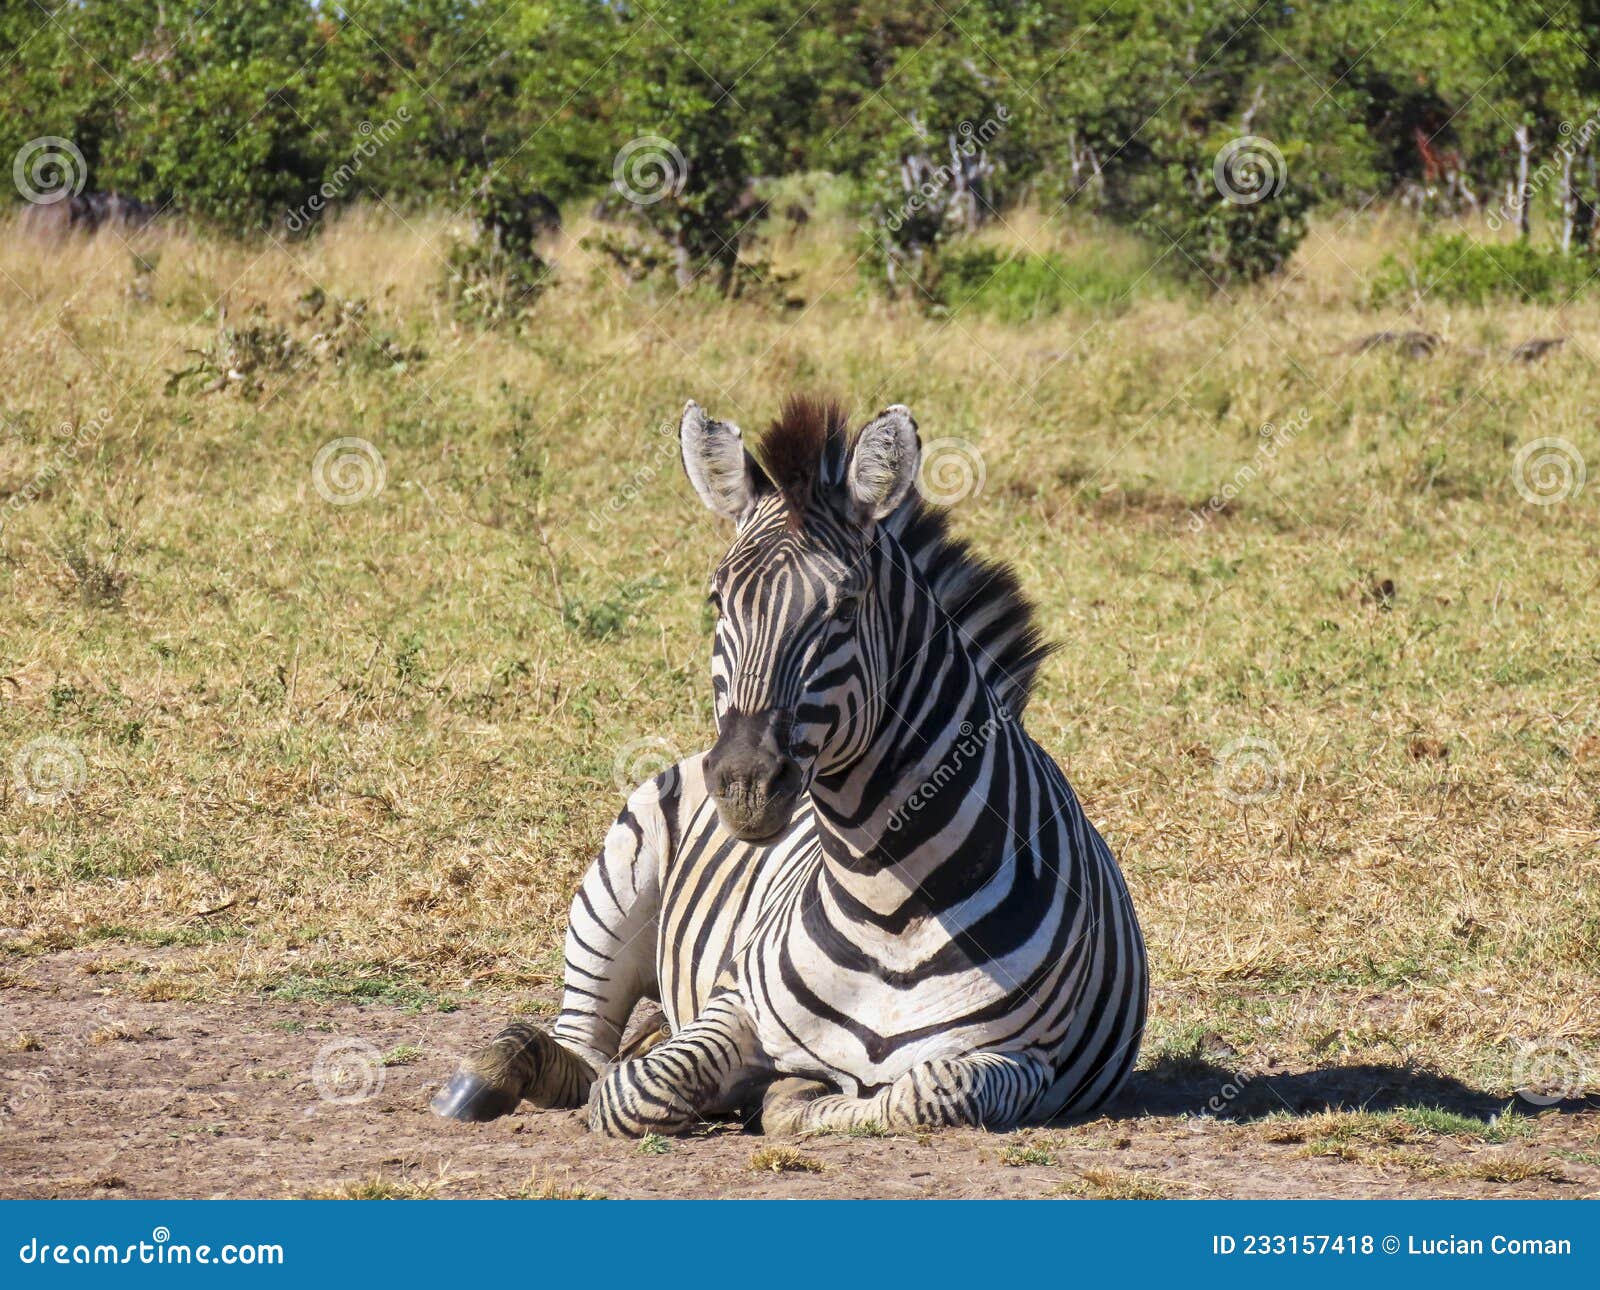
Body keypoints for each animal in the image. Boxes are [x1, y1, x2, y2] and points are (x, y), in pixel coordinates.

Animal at [433, 395, 1147, 1135]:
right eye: (717, 599)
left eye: (847, 605)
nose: (745, 783)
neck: (891, 908)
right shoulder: (734, 1000)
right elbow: (636, 1089)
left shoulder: (1027, 1064)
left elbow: (924, 1091)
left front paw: (786, 1095)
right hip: (615, 882)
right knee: (586, 1048)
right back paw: (494, 1069)